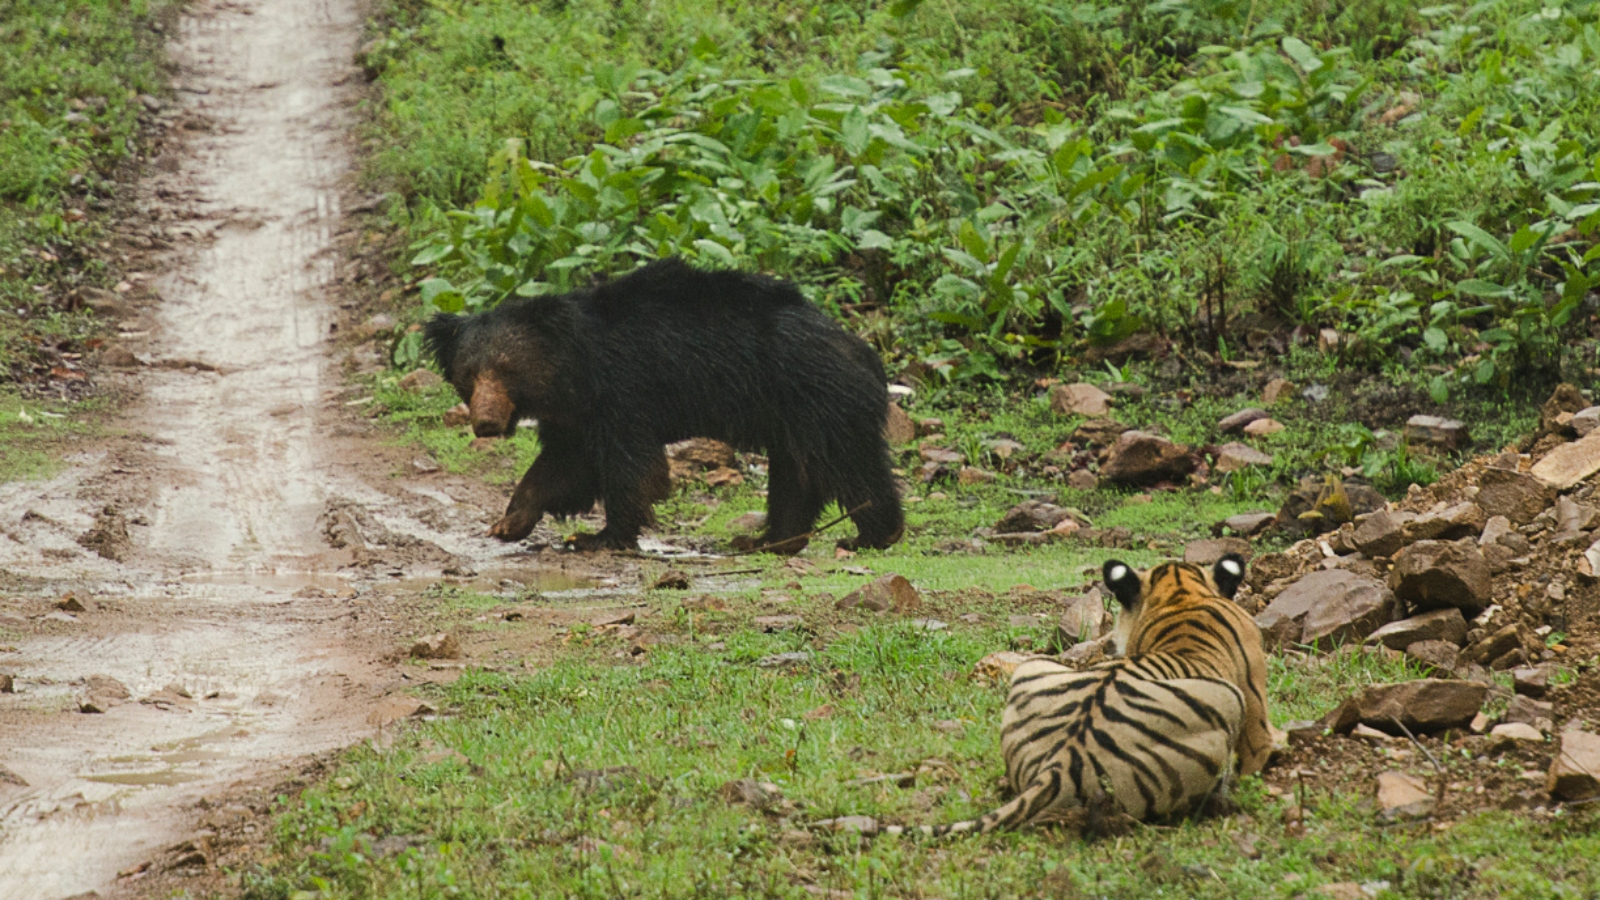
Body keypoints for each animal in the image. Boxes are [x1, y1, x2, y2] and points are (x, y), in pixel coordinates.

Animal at [423, 257, 904, 554]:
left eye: (506, 369)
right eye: (468, 375)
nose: (486, 423)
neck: (573, 371)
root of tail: (863, 350)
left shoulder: (624, 390)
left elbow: (630, 466)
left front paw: (600, 536)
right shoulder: (578, 415)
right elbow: (564, 464)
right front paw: (509, 522)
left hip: (817, 396)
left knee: (850, 463)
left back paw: (873, 535)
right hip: (793, 417)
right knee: (796, 475)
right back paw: (771, 540)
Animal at [874, 554, 1269, 836]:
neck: (1181, 595)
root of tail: (1062, 763)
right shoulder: (1253, 702)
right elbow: (1258, 749)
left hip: (1031, 668)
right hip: (1224, 709)